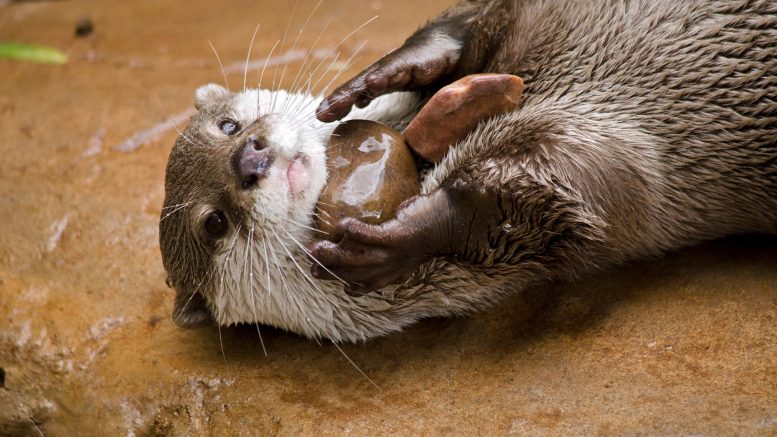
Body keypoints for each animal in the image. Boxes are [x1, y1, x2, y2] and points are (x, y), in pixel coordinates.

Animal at [160, 0, 777, 343]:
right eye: (212, 223)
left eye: (229, 126)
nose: (250, 158)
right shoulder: (594, 149)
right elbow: (562, 196)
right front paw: (397, 240)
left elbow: (477, 22)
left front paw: (380, 75)